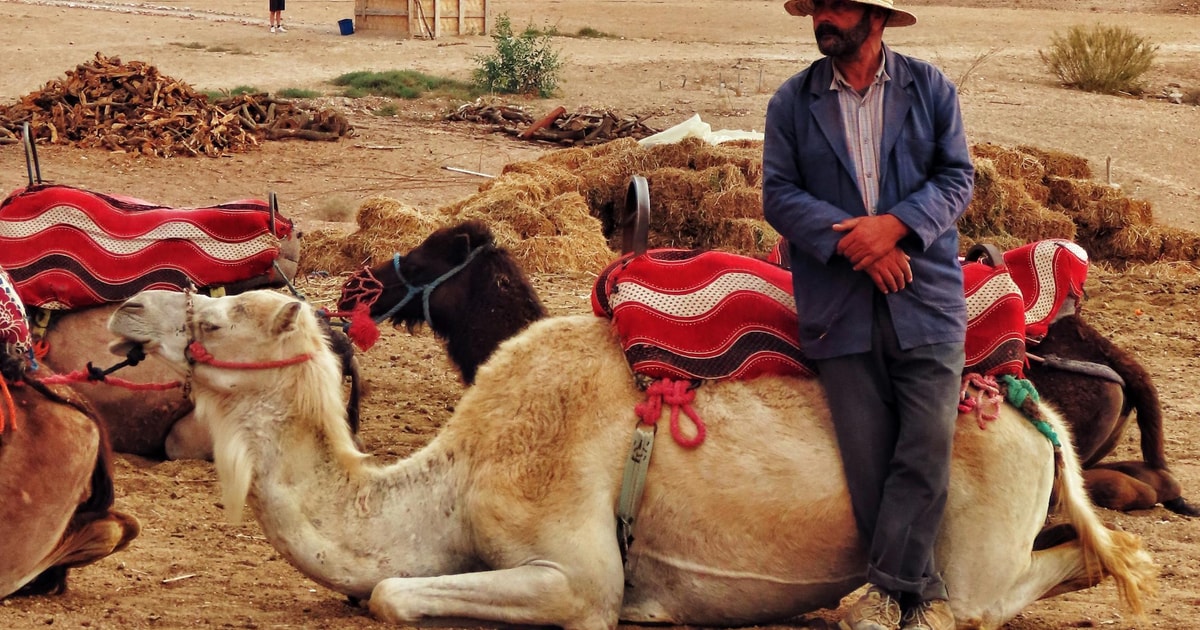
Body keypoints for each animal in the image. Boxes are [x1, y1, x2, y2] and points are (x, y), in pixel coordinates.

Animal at [107, 288, 1155, 629]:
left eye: (213, 315)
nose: (129, 307)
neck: (449, 484)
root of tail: (1031, 407)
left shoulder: (577, 575)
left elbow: (394, 594)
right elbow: (387, 590)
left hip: (973, 537)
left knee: (973, 597)